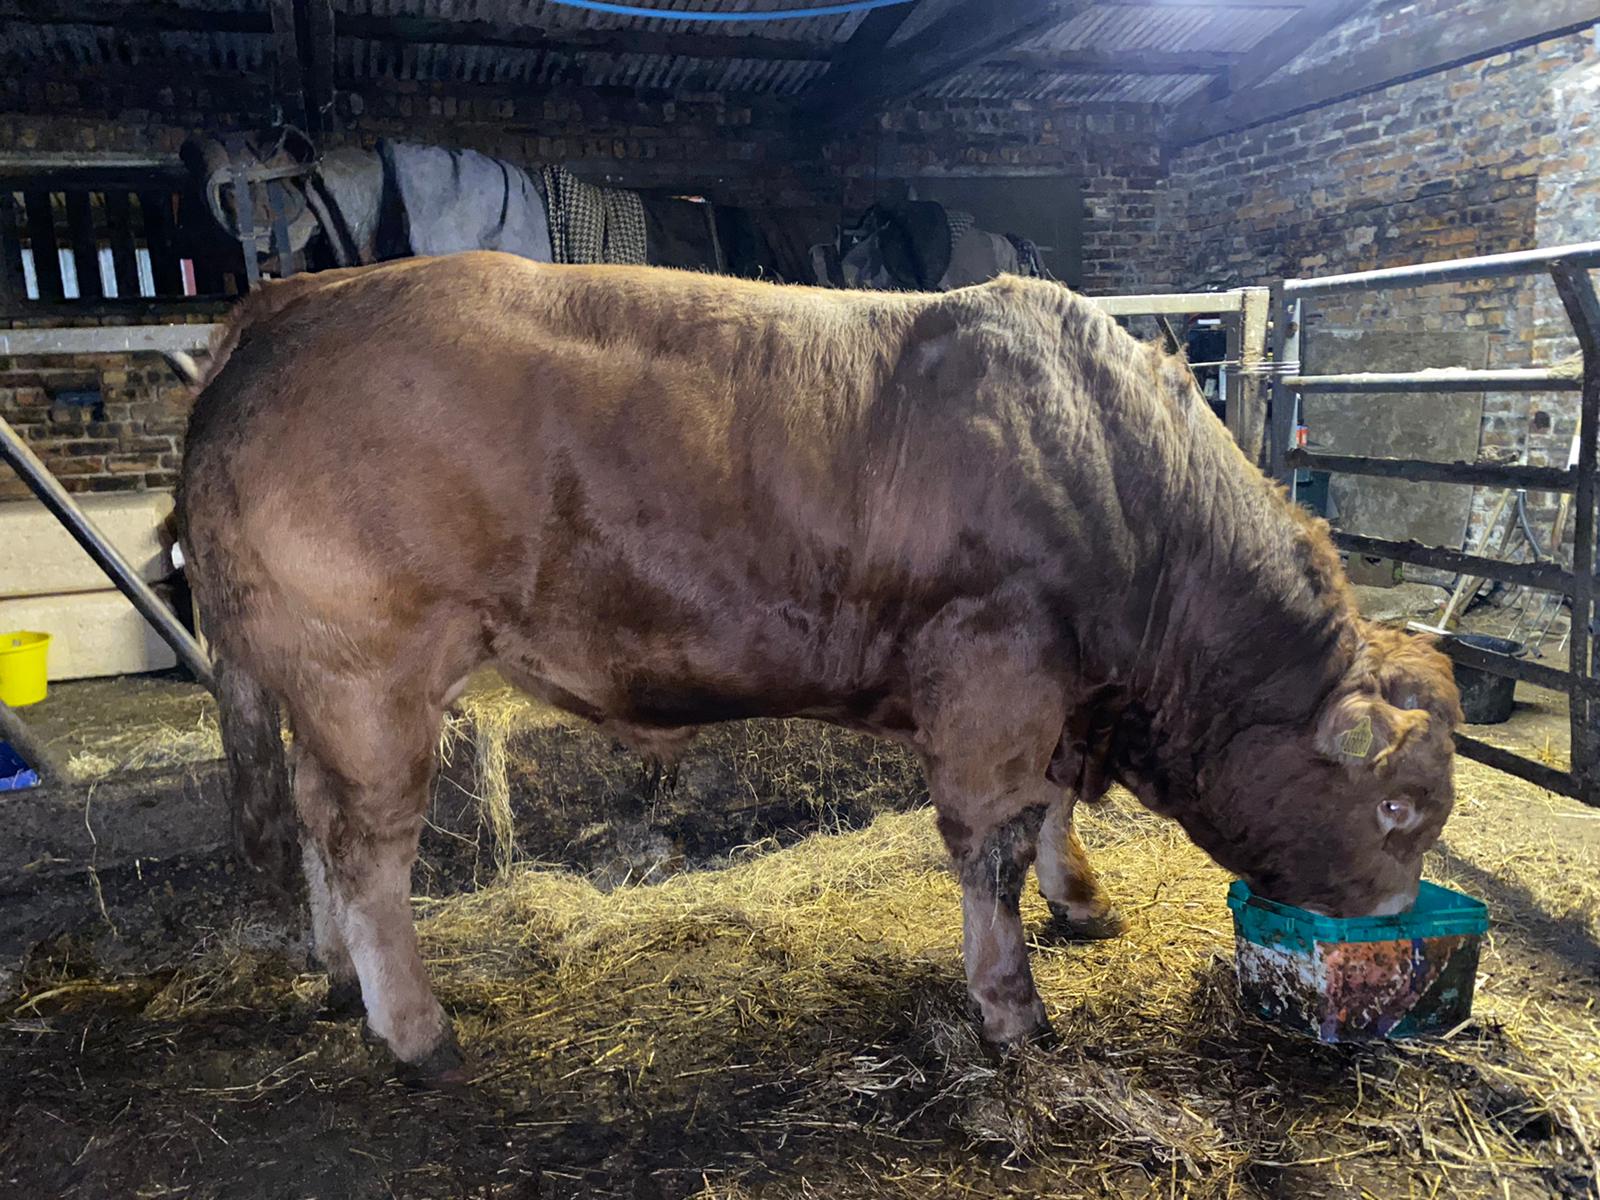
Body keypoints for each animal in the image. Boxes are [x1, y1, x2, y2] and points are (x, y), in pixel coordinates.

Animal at [178, 253, 1461, 1083]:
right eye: (1394, 808)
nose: (1394, 920)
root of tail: (290, 299)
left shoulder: (1059, 692)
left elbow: (1049, 813)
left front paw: (1084, 900)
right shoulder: (994, 673)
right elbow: (992, 843)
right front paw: (1011, 1010)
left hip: (319, 686)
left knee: (315, 822)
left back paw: (336, 976)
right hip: (371, 671)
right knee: (367, 847)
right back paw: (415, 1029)